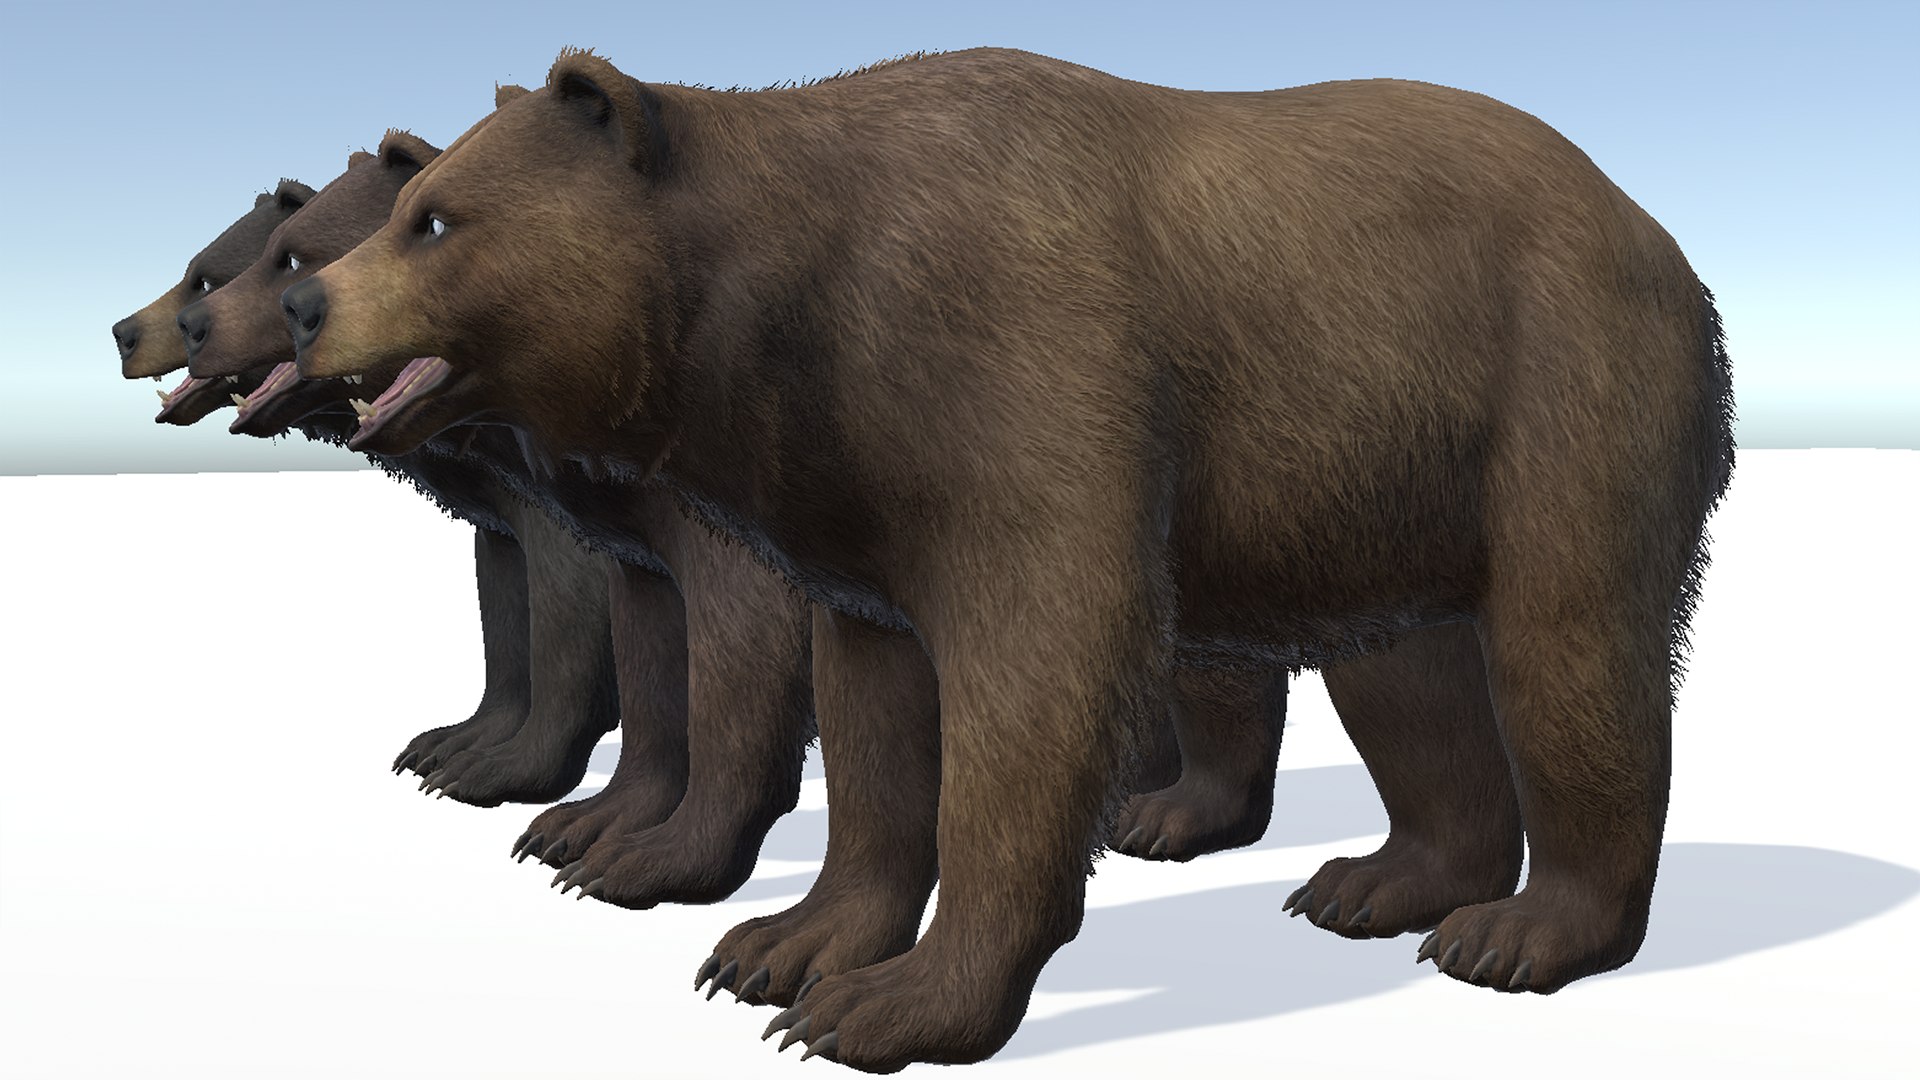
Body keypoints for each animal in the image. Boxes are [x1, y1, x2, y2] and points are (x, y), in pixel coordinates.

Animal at [284, 45, 1737, 1070]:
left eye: (432, 218)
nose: (303, 304)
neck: (787, 309)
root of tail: (1652, 227)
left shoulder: (1020, 369)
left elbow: (1035, 675)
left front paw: (891, 1004)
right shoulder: (854, 495)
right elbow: (873, 710)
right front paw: (780, 949)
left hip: (1563, 381)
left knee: (1568, 648)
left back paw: (1525, 930)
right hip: (1379, 474)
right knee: (1408, 676)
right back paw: (1382, 882)